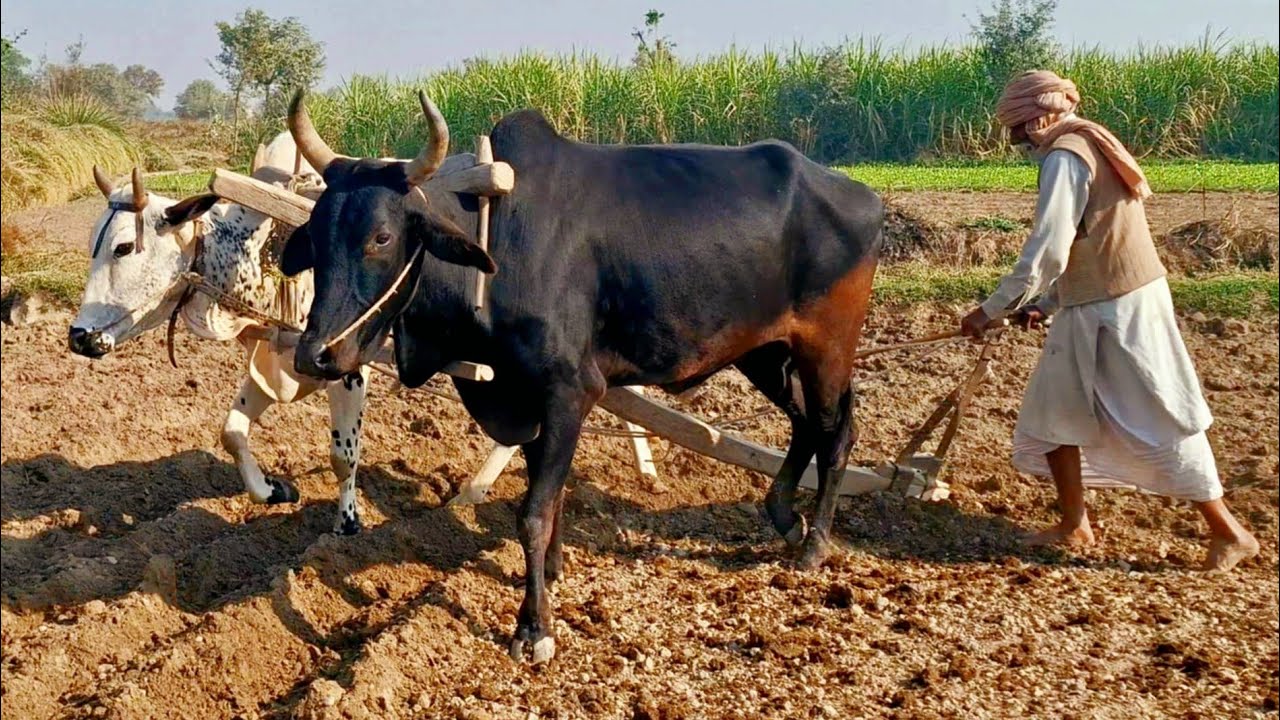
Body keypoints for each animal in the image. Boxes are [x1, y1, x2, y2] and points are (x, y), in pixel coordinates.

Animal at [66, 134, 374, 535]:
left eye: (123, 247)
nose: (79, 336)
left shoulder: (349, 371)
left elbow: (343, 455)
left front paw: (347, 526)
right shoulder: (268, 359)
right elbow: (232, 432)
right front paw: (274, 490)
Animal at [280, 91, 885, 663]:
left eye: (381, 237)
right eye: (315, 234)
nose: (317, 355)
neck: (497, 238)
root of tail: (862, 194)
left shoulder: (568, 391)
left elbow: (533, 512)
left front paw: (534, 629)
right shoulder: (523, 396)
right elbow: (551, 498)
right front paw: (551, 573)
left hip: (827, 348)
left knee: (836, 433)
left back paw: (814, 546)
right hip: (765, 353)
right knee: (806, 426)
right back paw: (784, 518)